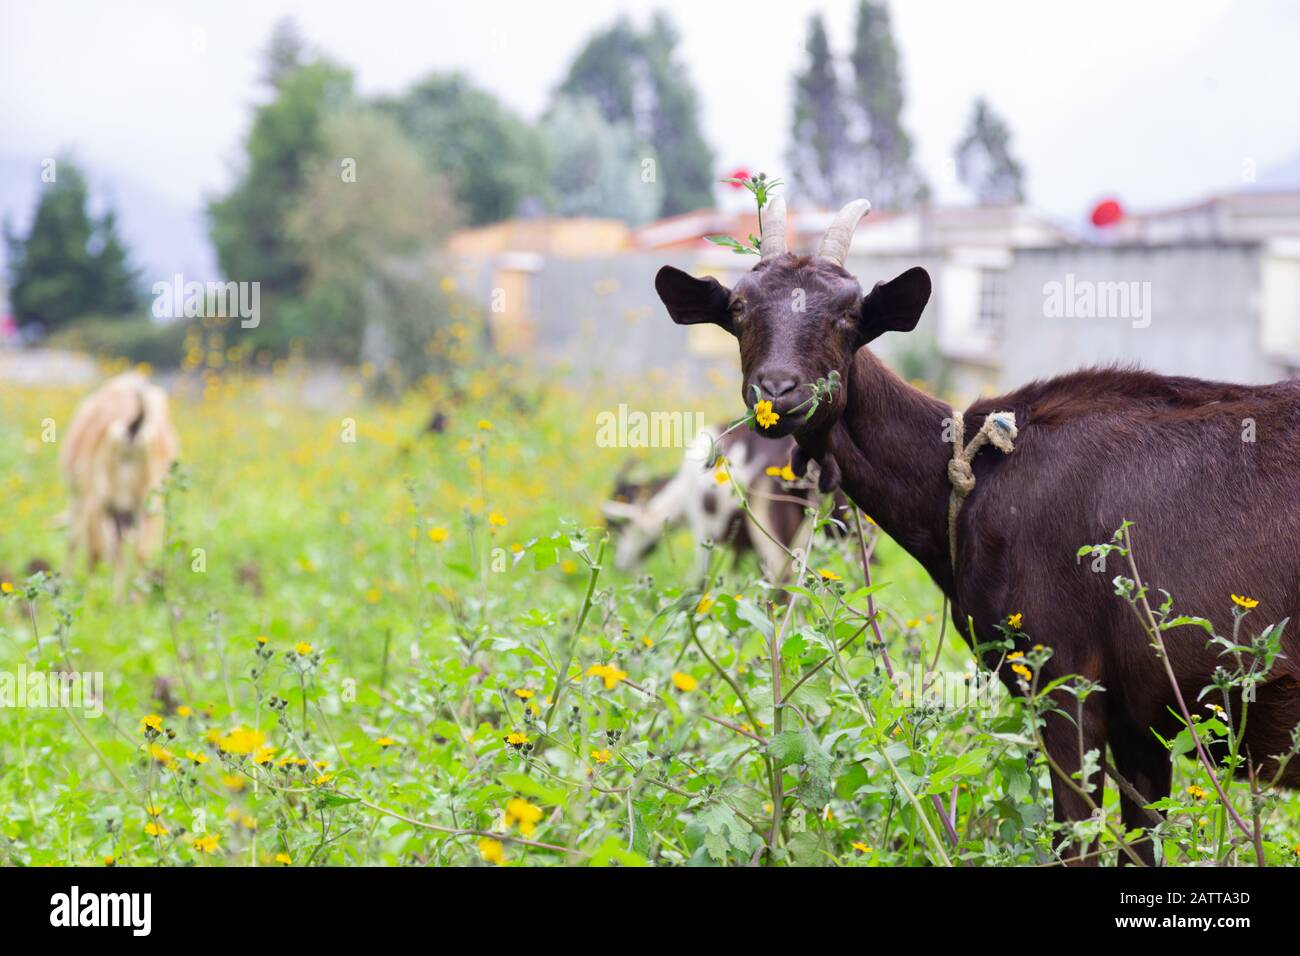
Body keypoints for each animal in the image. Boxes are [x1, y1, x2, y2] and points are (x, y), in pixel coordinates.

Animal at [61, 372, 179, 589]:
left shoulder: (82, 498)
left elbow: (75, 541)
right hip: (147, 505)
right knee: (140, 555)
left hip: (97, 499)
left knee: (96, 549)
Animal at [654, 196, 1300, 866]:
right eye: (738, 308)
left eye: (849, 313)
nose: (778, 392)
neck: (968, 479)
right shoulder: (1142, 718)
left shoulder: (1063, 679)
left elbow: (1074, 843)